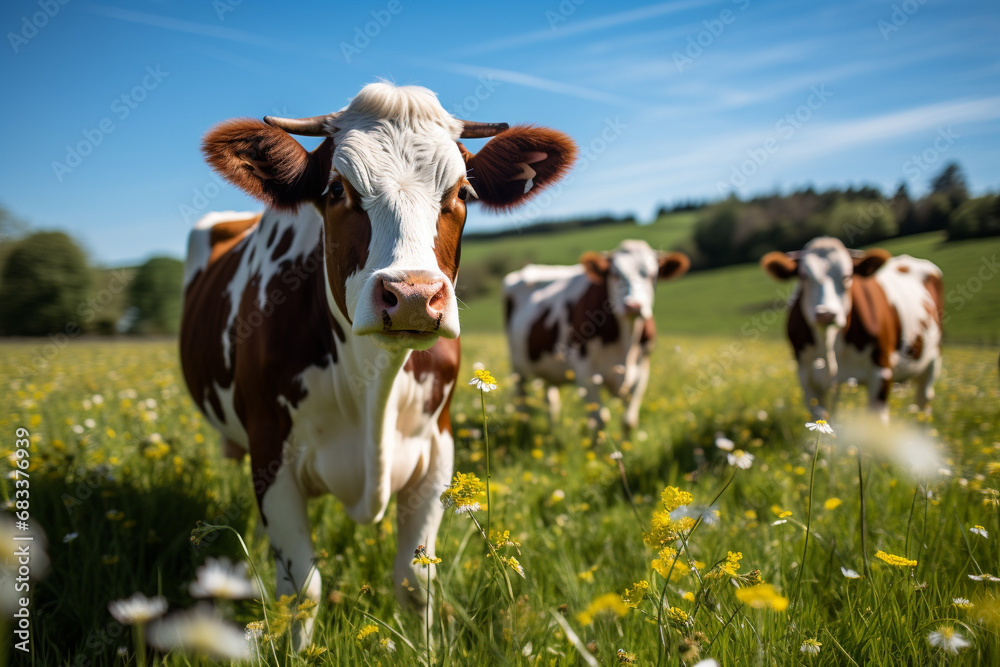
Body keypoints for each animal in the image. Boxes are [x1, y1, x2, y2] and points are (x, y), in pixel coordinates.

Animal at [180, 82, 576, 646]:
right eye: (335, 190)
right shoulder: (270, 452)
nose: (412, 295)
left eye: (462, 193)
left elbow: (416, 579)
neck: (373, 381)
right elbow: (301, 590)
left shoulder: (438, 452)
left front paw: (428, 649)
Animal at [502, 240, 689, 437]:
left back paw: (552, 431)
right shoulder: (586, 372)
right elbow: (599, 420)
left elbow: (629, 421)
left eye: (653, 275)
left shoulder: (642, 372)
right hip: (517, 366)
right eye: (614, 274)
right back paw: (522, 429)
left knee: (550, 401)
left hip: (547, 367)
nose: (633, 306)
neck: (626, 342)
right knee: (521, 400)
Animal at [761, 237, 944, 422]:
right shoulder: (807, 376)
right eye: (804, 276)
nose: (826, 314)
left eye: (847, 276)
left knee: (924, 400)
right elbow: (819, 416)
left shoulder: (882, 370)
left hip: (933, 357)